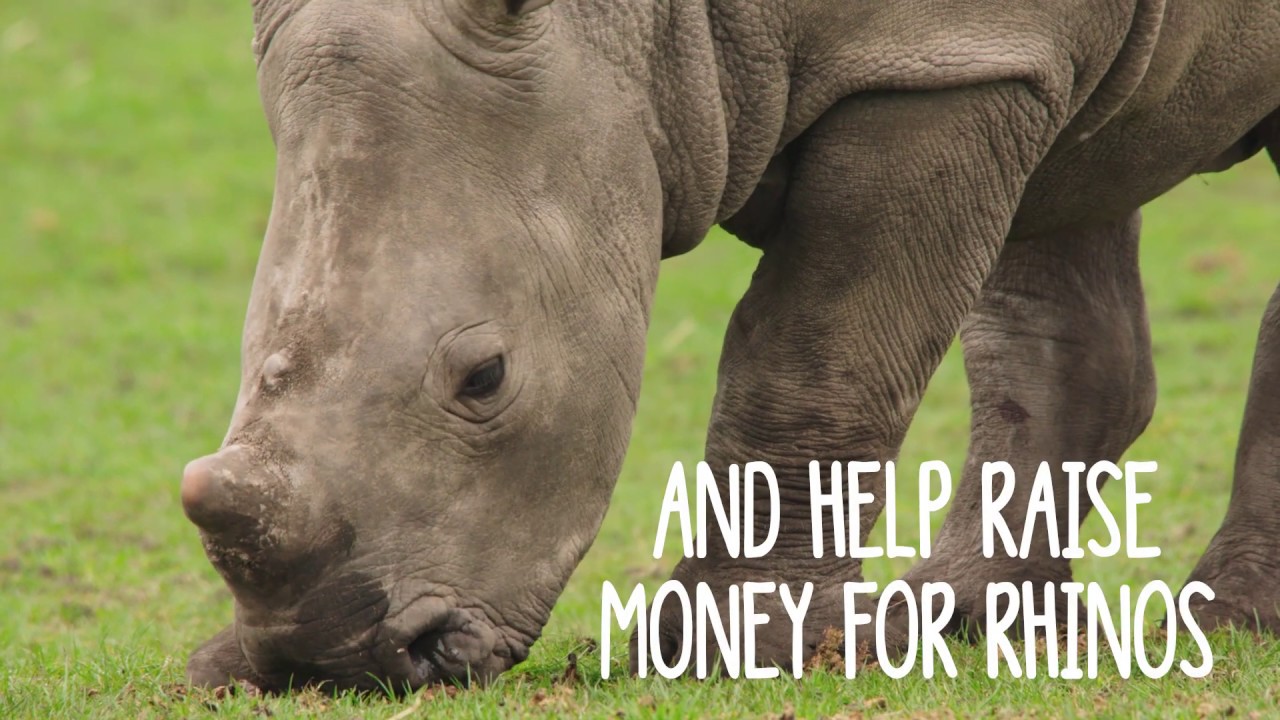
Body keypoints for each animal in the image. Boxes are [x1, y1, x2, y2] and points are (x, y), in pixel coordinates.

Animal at [181, 0, 1280, 692]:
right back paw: (956, 622)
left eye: (484, 377)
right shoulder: (991, 54)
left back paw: (1223, 626)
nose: (328, 660)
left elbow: (814, 353)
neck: (642, 31)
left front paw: (724, 654)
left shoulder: (940, 62)